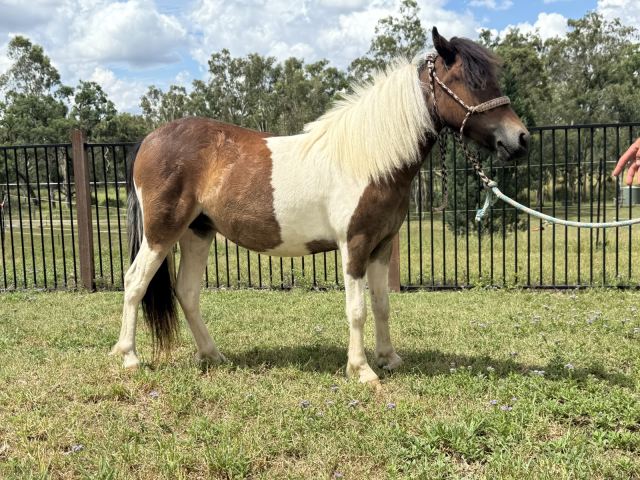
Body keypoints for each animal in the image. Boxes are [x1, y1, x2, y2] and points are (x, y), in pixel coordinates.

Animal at [110, 27, 530, 385]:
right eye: (472, 82)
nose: (520, 139)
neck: (369, 158)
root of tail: (149, 139)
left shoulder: (381, 246)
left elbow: (381, 304)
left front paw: (389, 358)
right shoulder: (354, 245)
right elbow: (357, 309)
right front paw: (362, 370)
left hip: (198, 232)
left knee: (187, 292)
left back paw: (212, 355)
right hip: (162, 233)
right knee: (135, 282)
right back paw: (129, 357)